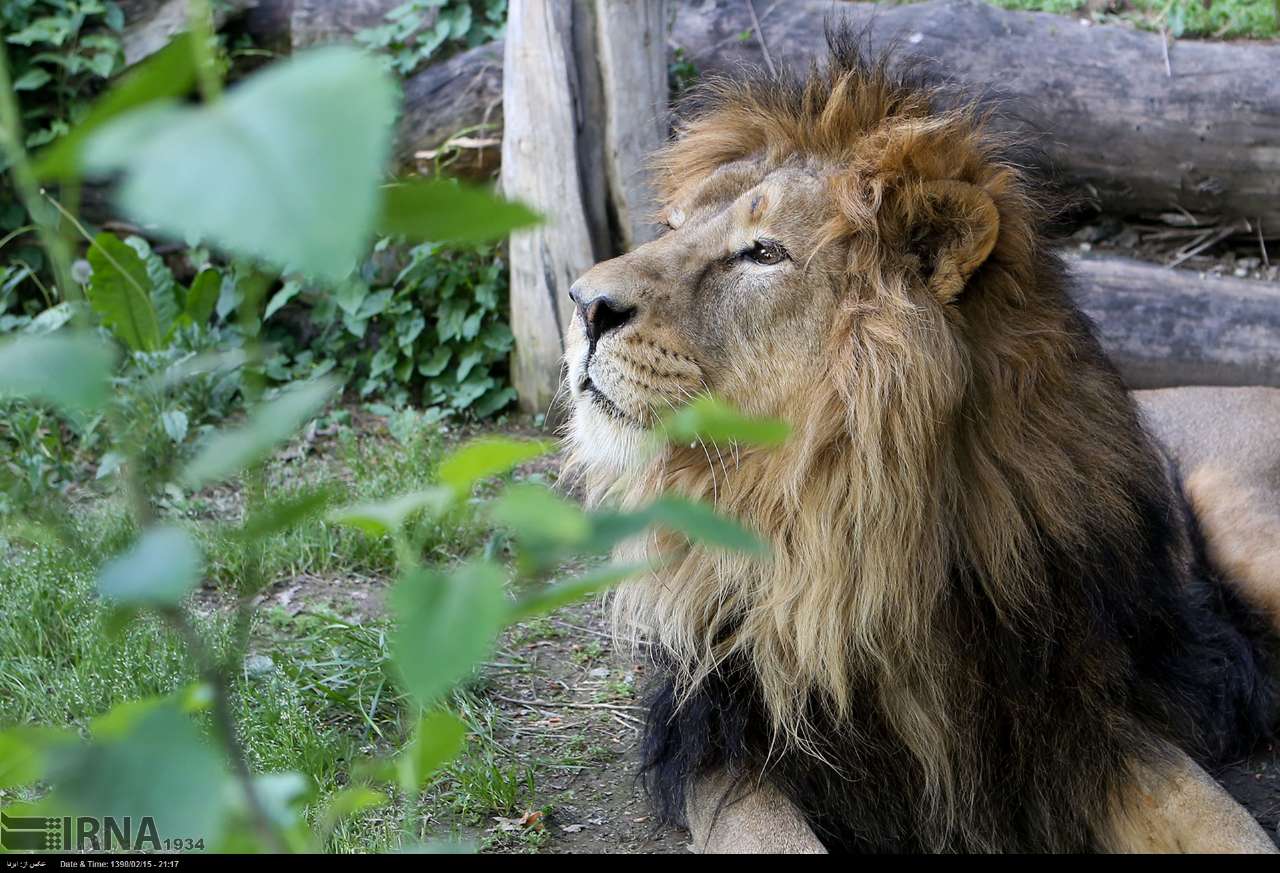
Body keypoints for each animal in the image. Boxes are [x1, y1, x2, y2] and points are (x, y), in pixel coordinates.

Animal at [561, 33, 1280, 853]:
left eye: (764, 252)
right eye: (675, 226)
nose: (583, 303)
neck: (852, 533)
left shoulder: (1083, 717)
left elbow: (1229, 823)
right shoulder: (721, 738)